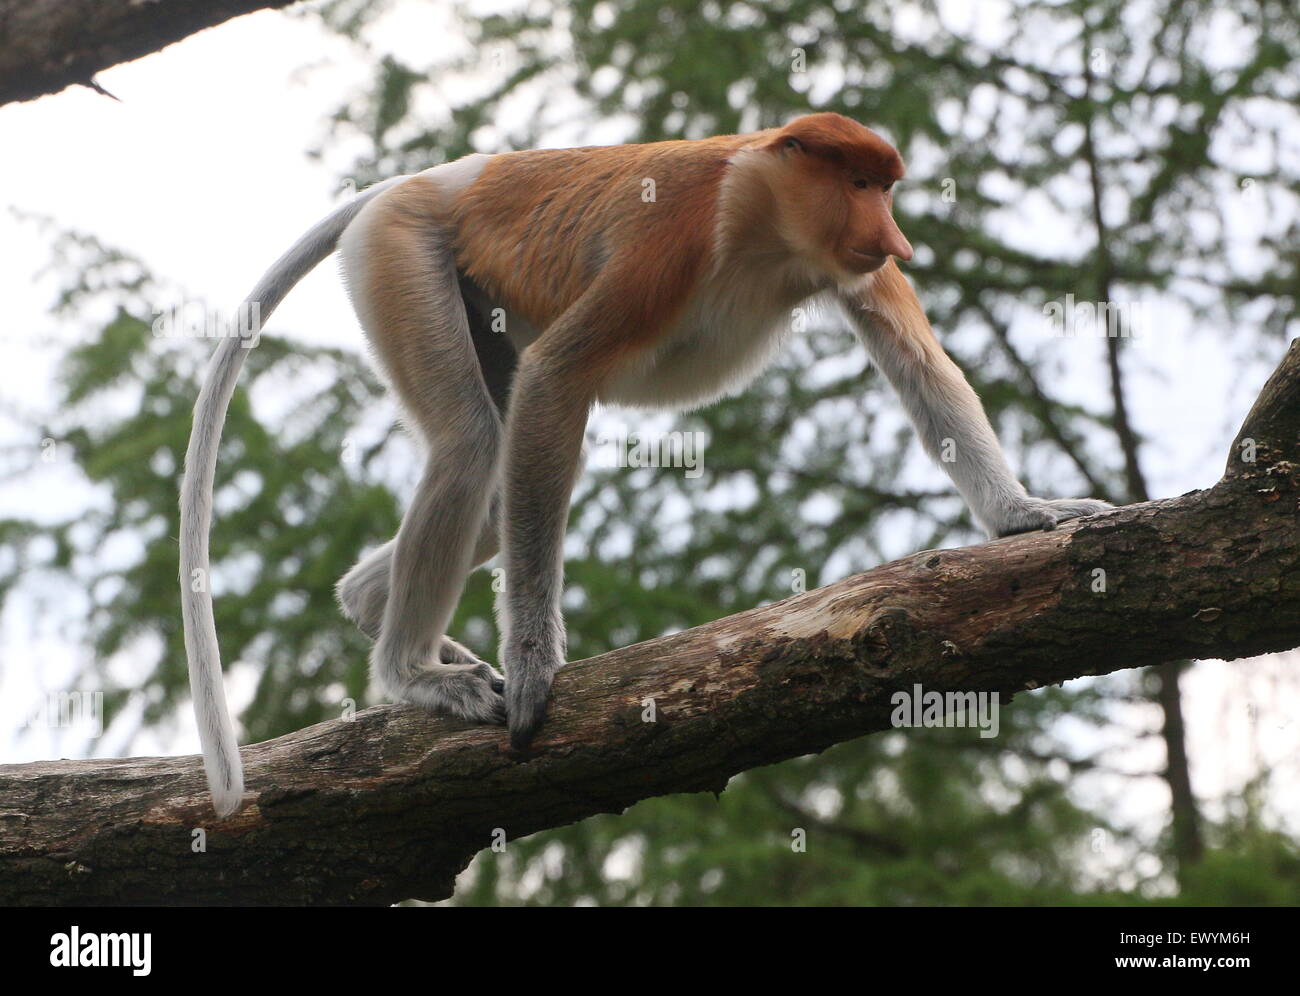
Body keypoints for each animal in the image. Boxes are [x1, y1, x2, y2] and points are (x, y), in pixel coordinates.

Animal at [180, 112, 1110, 817]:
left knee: (494, 482)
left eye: (884, 188)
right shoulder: (675, 237)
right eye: (858, 184)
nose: (898, 240)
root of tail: (439, 177)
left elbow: (920, 367)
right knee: (476, 446)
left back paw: (375, 612)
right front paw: (533, 667)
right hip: (400, 251)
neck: (760, 210)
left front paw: (1027, 515)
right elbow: (557, 377)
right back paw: (411, 675)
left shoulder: (849, 268)